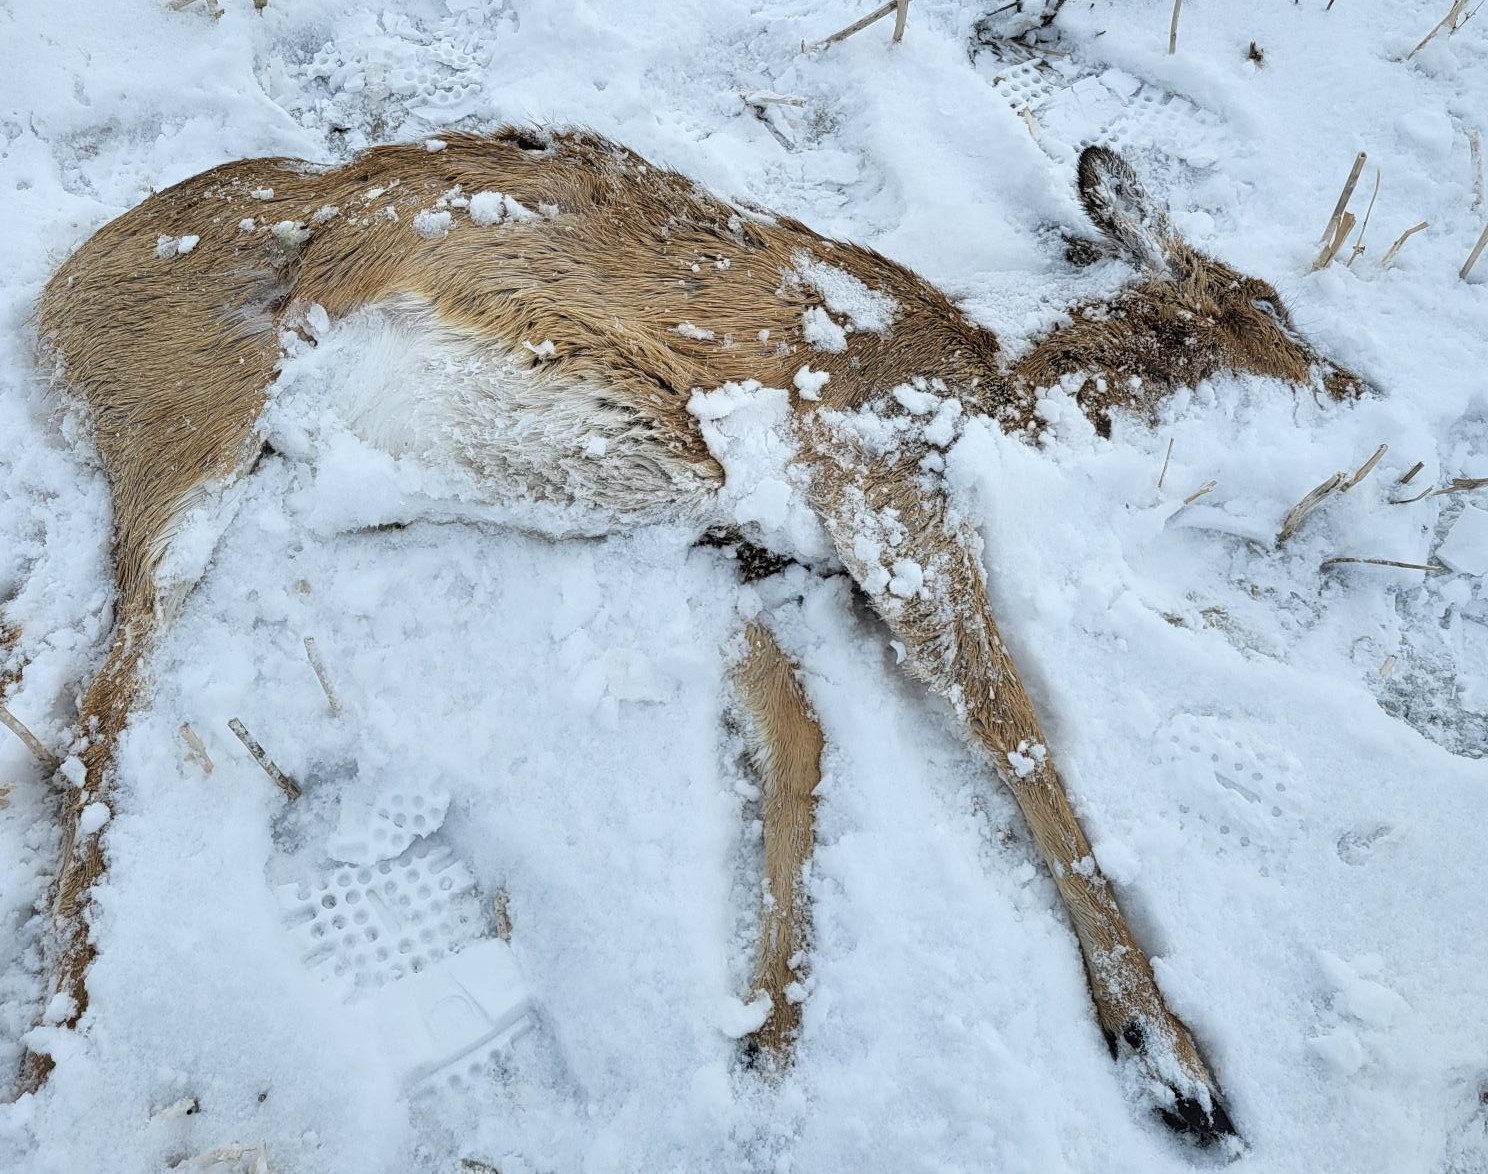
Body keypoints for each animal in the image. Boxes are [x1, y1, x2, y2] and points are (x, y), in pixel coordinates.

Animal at [16, 126, 1365, 1142]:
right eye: (1268, 305)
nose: (1361, 395)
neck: (987, 371)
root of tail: (59, 297)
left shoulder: (739, 548)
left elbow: (797, 736)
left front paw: (767, 1035)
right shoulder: (877, 485)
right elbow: (1011, 728)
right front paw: (1176, 1064)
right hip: (195, 443)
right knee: (96, 724)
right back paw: (50, 1055)